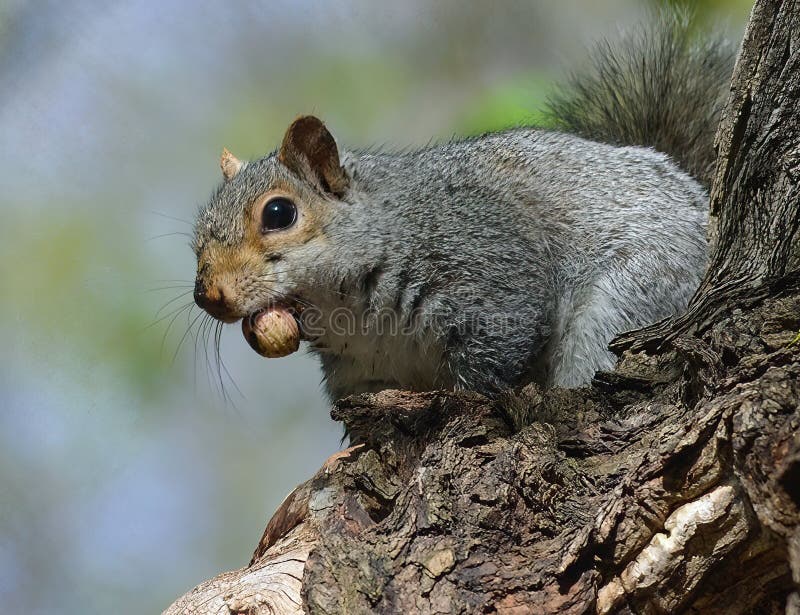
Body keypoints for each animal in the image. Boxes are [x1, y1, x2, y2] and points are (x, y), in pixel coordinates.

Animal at [191, 12, 734, 400]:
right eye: (197, 235)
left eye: (279, 214)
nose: (207, 296)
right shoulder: (363, 372)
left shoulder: (487, 262)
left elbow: (500, 347)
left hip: (633, 294)